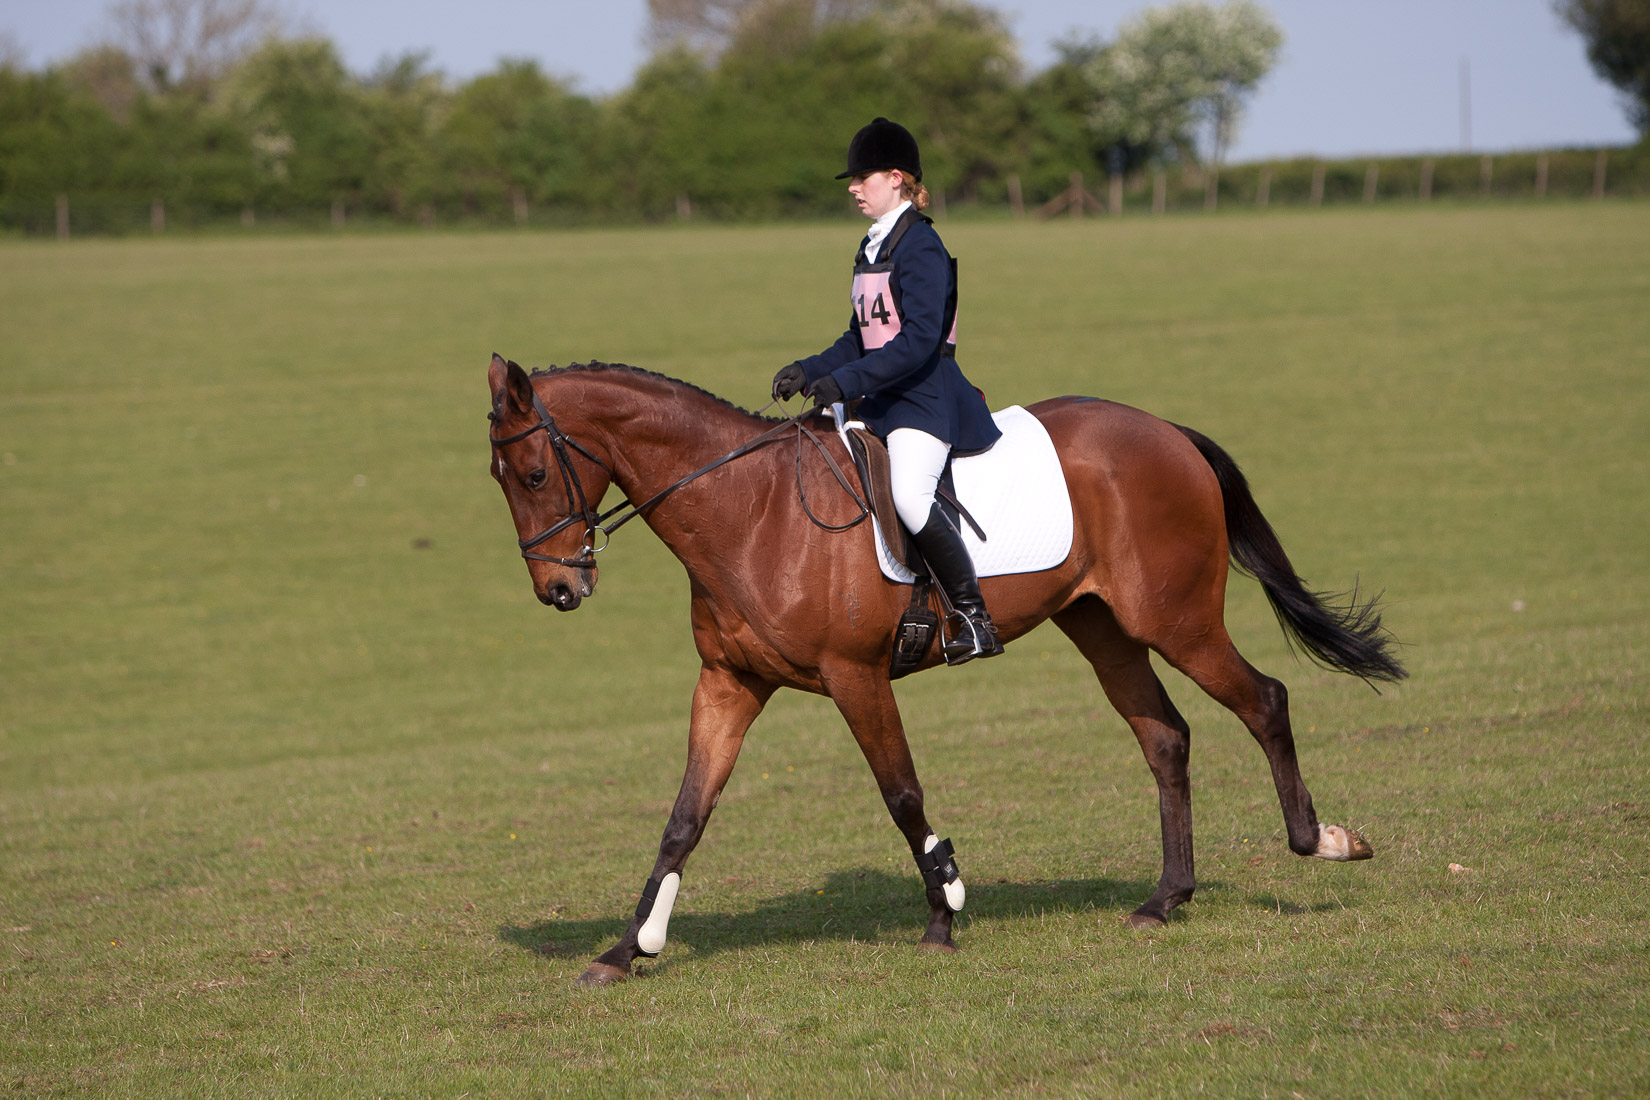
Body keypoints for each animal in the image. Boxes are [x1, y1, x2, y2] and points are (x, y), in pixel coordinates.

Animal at [484, 354, 1405, 986]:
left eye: (532, 472)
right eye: (500, 479)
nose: (558, 590)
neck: (749, 510)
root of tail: (1167, 431)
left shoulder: (855, 677)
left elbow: (902, 795)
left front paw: (945, 912)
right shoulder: (730, 683)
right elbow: (684, 817)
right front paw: (625, 949)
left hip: (1176, 620)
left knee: (1264, 700)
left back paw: (1322, 841)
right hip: (1101, 627)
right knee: (1165, 737)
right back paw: (1165, 898)